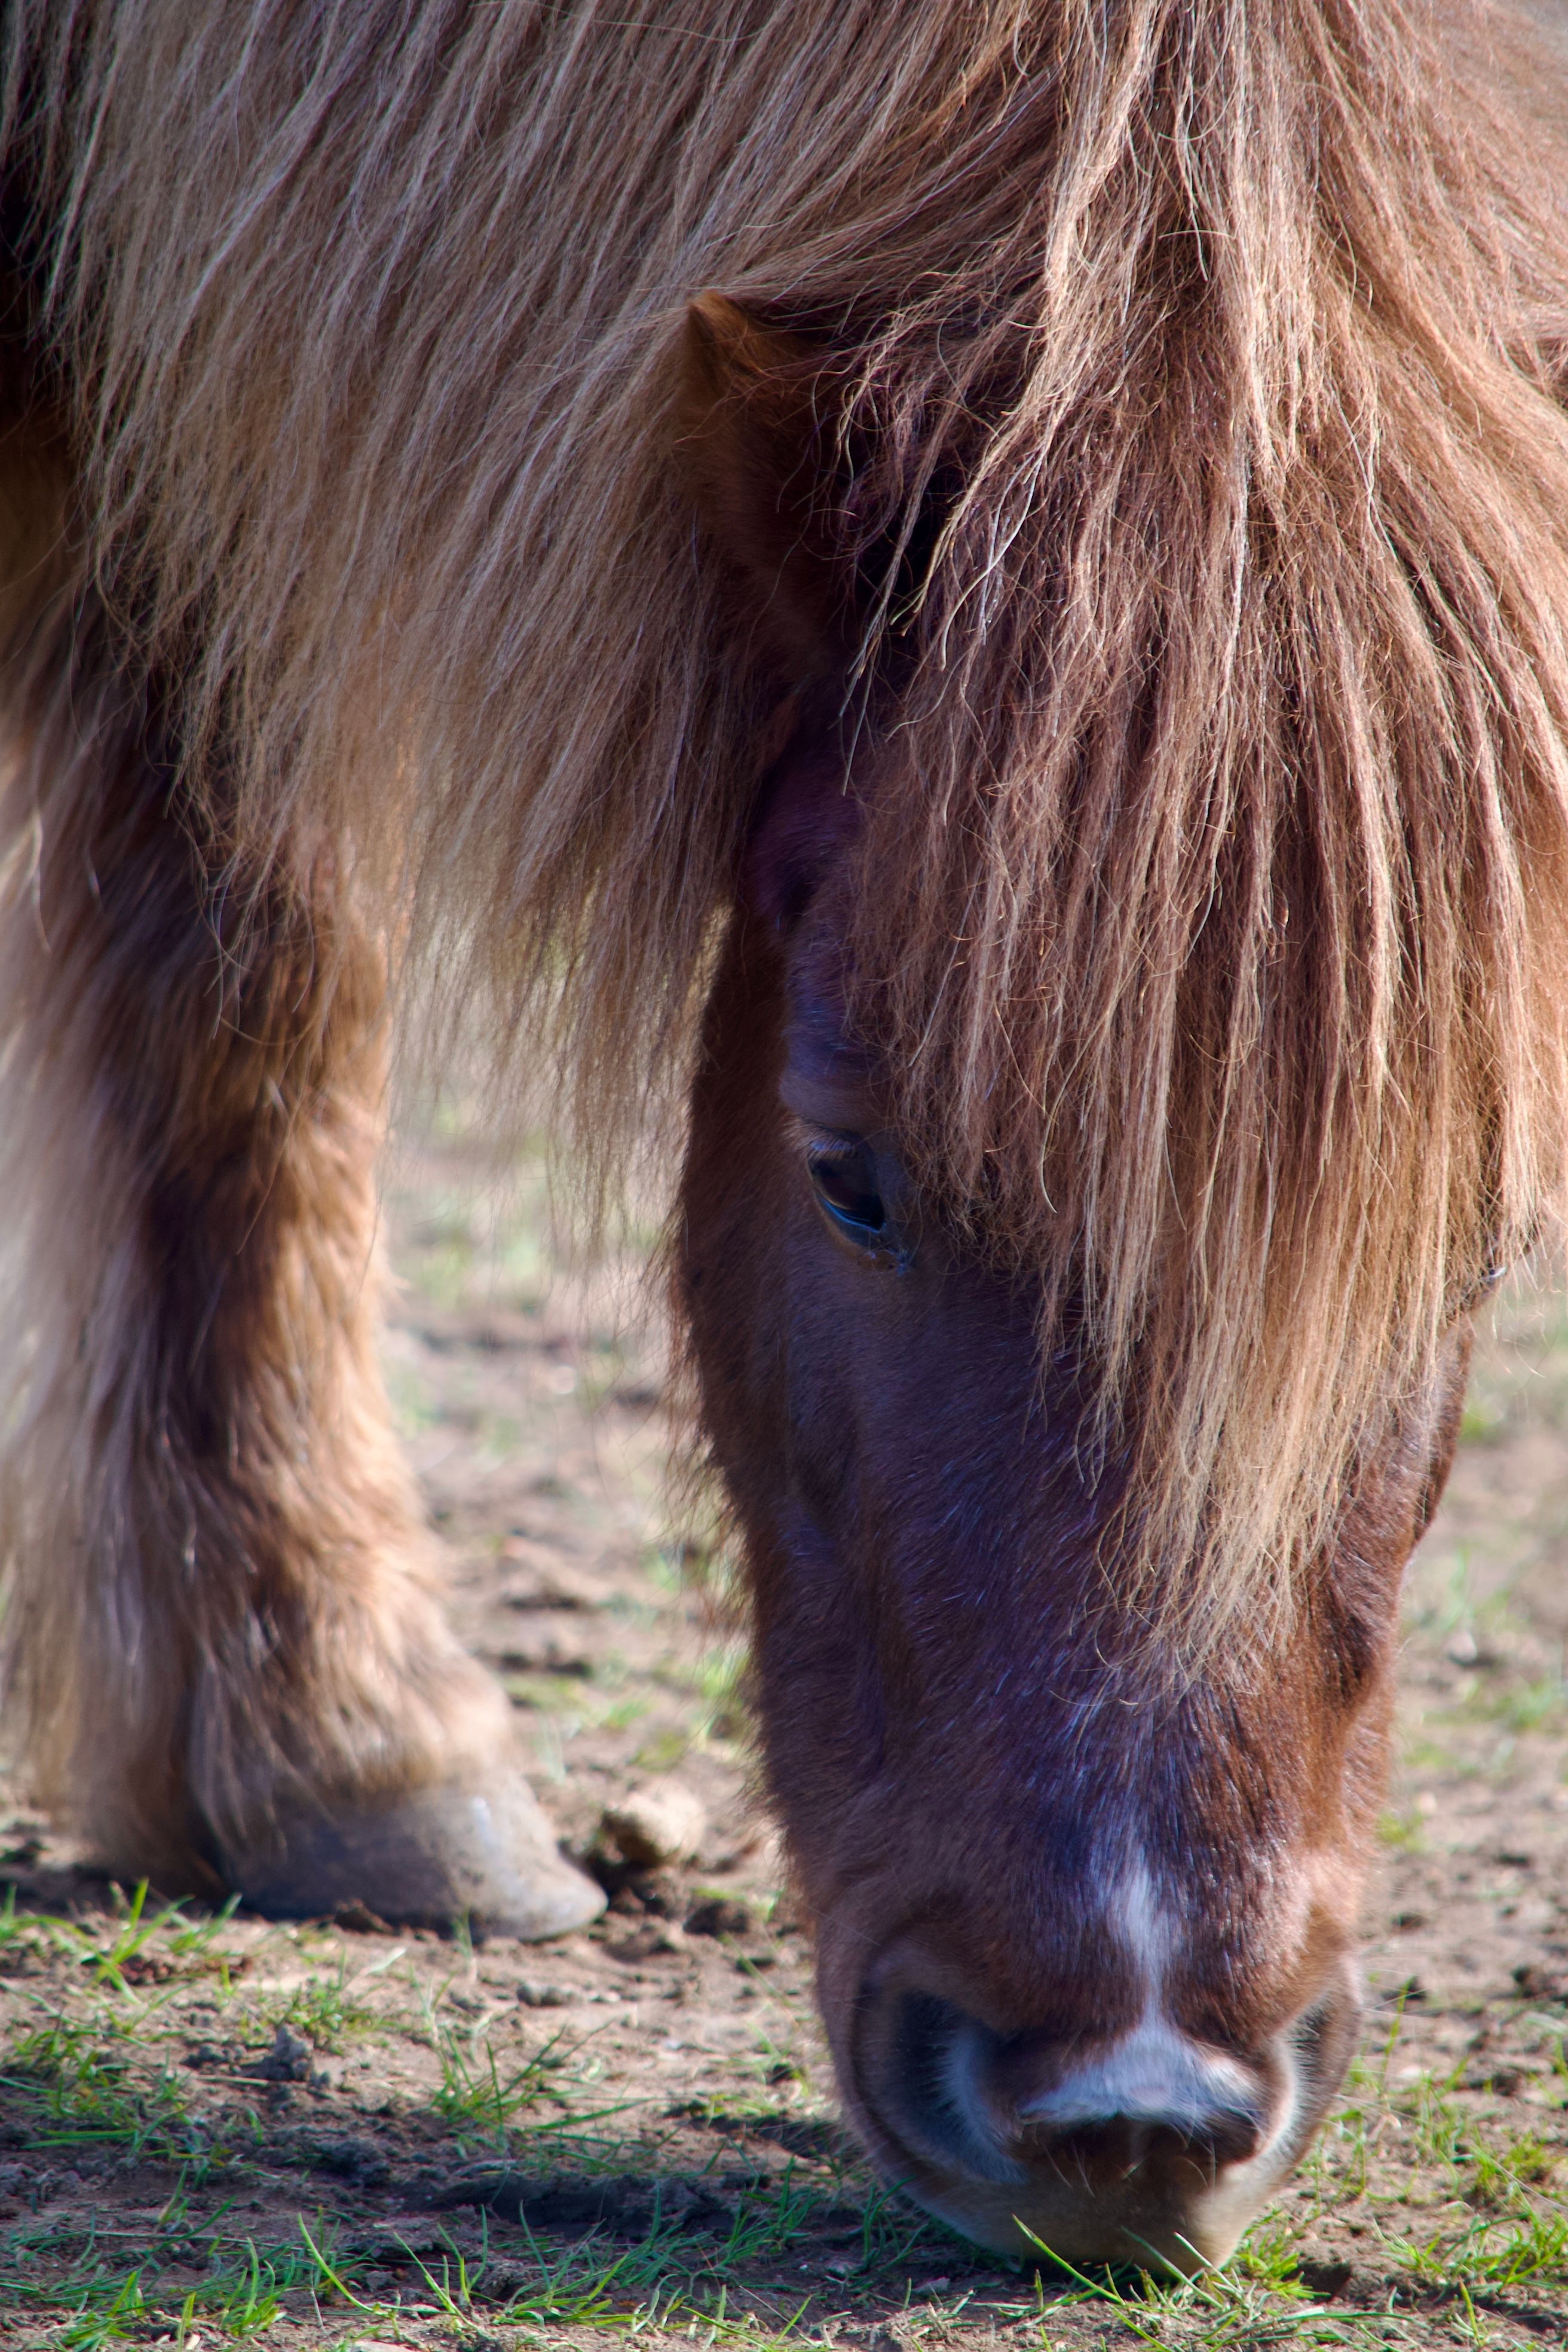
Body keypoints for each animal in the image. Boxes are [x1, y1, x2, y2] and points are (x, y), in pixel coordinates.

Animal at [3, 0, 1568, 2274]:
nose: (1135, 2111)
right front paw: (340, 1728)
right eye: (850, 1179)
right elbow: (257, 945)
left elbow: (242, 924)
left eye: (1483, 1237)